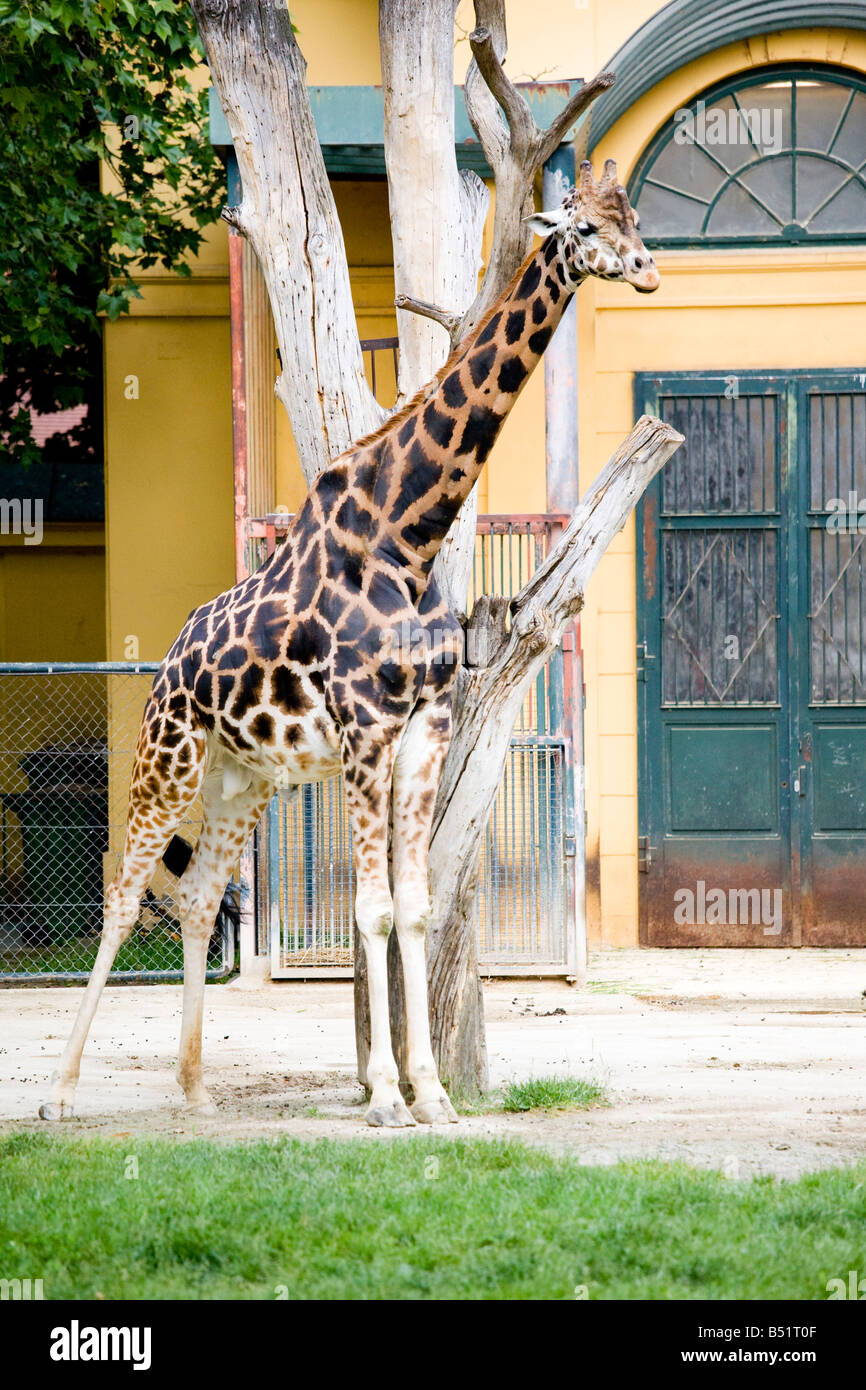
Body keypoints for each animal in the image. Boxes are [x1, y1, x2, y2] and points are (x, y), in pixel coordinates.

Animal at [39, 159, 659, 1128]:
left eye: (631, 216)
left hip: (244, 777)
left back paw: (195, 1089)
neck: (407, 536)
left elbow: (414, 907)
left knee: (200, 896)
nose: (646, 270)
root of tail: (170, 654)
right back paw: (62, 1095)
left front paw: (430, 1095)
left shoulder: (424, 729)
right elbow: (370, 910)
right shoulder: (367, 728)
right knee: (124, 891)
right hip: (166, 754)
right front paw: (386, 1100)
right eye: (586, 229)